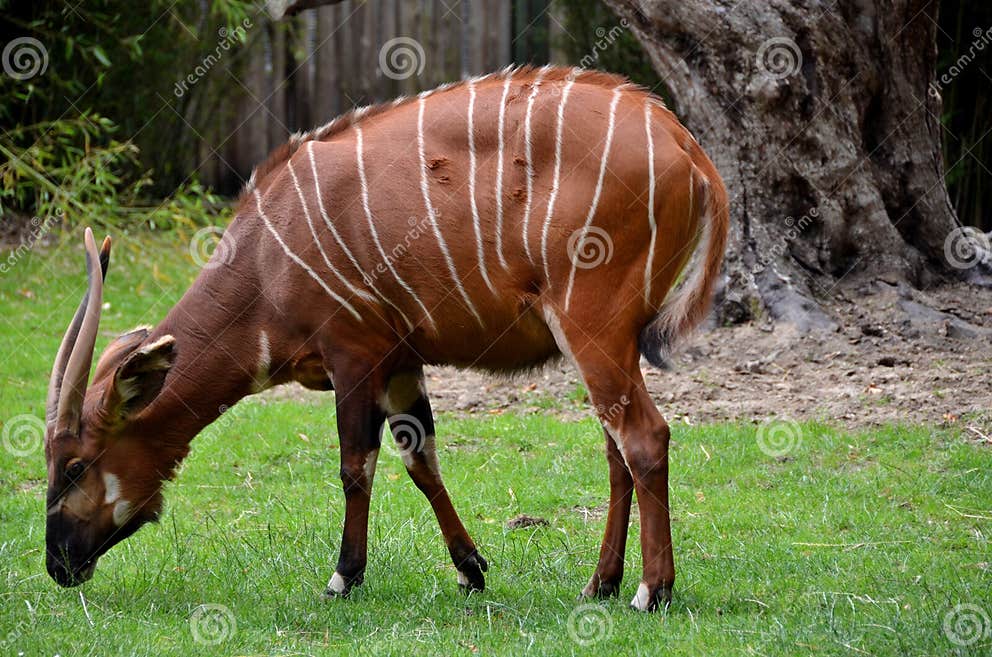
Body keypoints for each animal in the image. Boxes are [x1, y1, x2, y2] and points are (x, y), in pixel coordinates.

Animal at [44, 66, 728, 611]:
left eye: (75, 464)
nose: (57, 564)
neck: (264, 259)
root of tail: (686, 146)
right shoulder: (402, 362)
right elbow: (419, 458)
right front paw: (471, 569)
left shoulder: (355, 354)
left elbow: (356, 465)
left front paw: (343, 578)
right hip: (608, 345)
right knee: (617, 449)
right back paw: (601, 584)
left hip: (594, 328)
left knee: (645, 438)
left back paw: (651, 592)